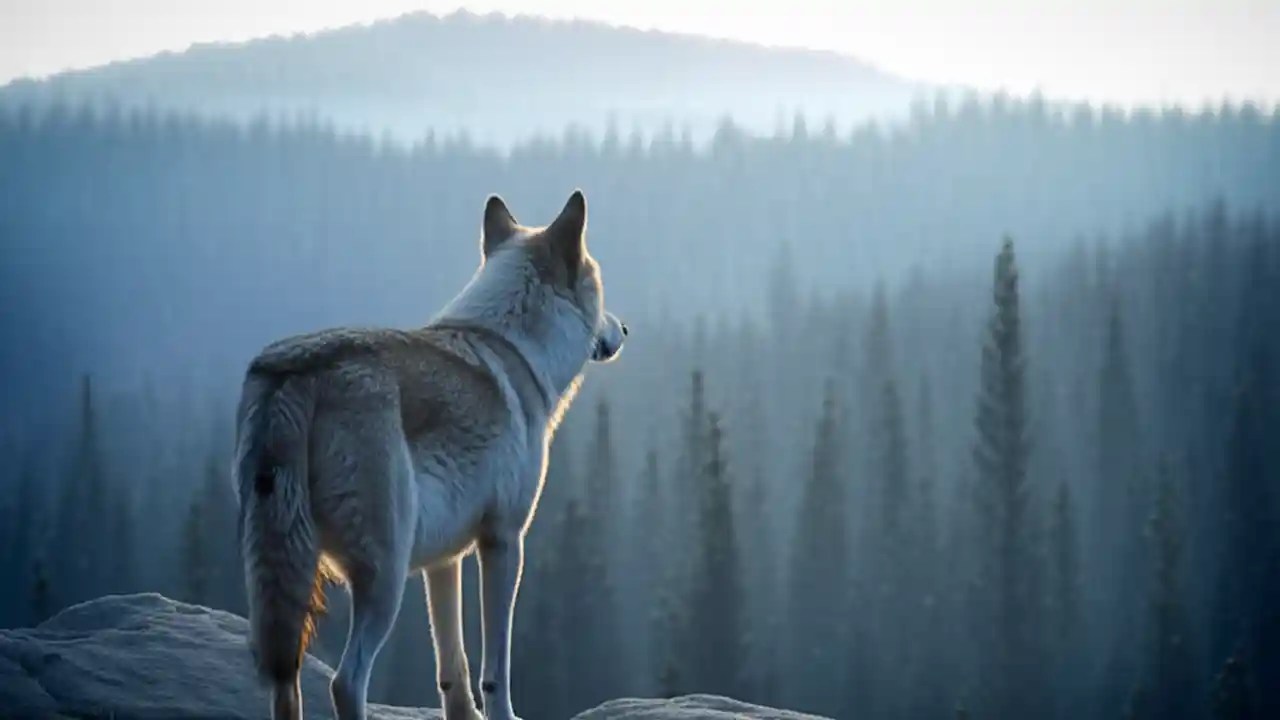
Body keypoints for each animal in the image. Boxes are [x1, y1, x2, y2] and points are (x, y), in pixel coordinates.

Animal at [233, 190, 626, 720]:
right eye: (599, 286)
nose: (624, 328)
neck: (515, 350)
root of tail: (294, 373)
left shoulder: (444, 559)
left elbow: (451, 666)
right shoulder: (504, 542)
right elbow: (495, 668)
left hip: (293, 582)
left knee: (285, 679)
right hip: (383, 579)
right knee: (344, 681)